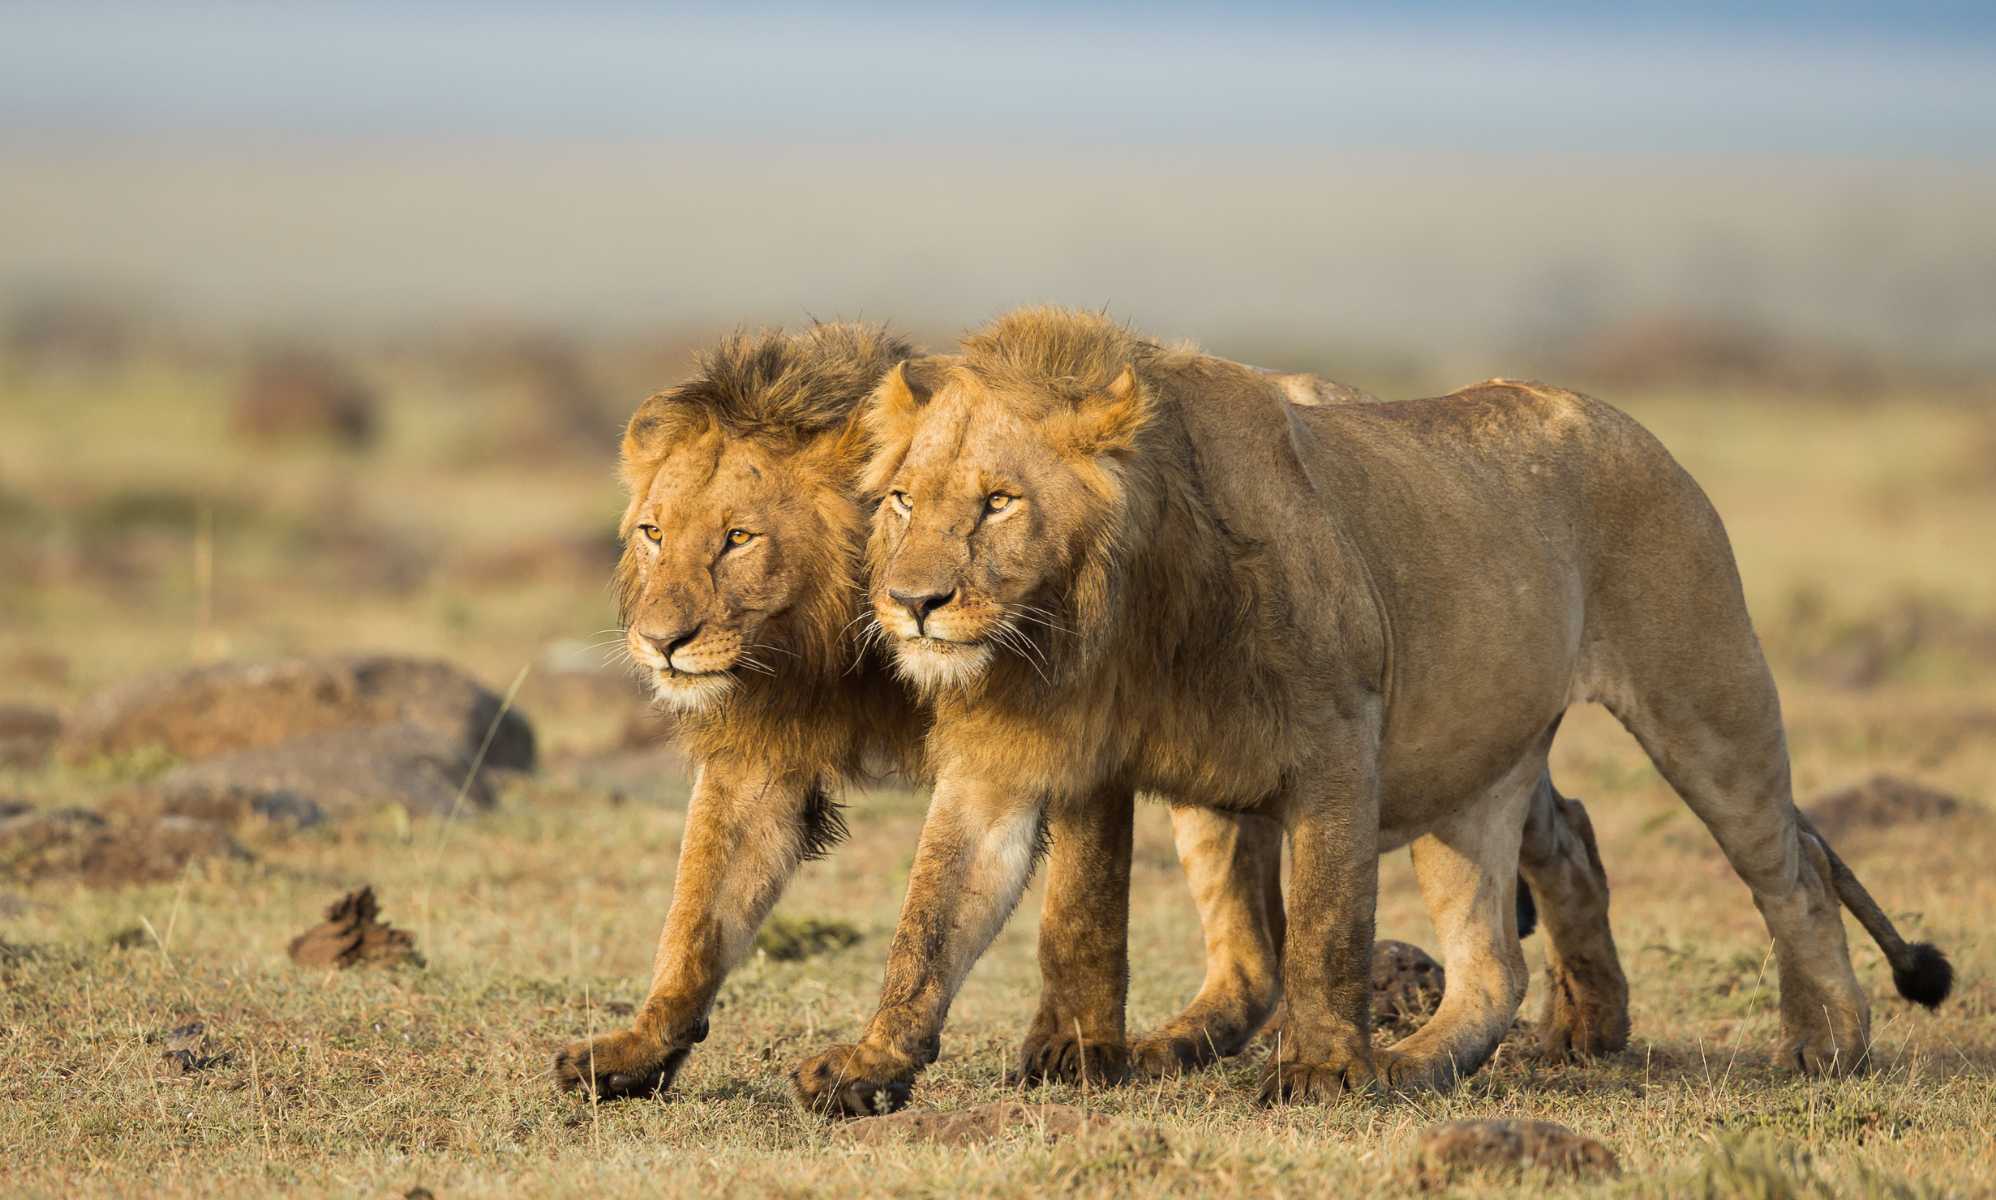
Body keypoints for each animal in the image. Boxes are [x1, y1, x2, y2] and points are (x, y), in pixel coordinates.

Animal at [553, 322, 1633, 1099]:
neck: (852, 645)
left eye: (738, 539)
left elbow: (1068, 907)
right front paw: (637, 1050)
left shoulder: (1071, 733)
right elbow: (700, 914)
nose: (661, 642)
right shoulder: (766, 758)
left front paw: (1061, 1056)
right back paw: (1586, 1025)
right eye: (652, 533)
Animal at [790, 307, 1950, 1115]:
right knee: (1495, 946)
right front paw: (877, 1065)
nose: (911, 603)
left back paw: (1826, 1043)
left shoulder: (1339, 744)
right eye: (902, 499)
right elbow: (952, 920)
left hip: (1702, 699)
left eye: (999, 503)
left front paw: (1316, 1071)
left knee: (1789, 869)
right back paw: (1463, 1050)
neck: (1093, 627)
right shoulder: (1016, 761)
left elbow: (1324, 925)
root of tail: (1623, 419)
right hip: (1461, 770)